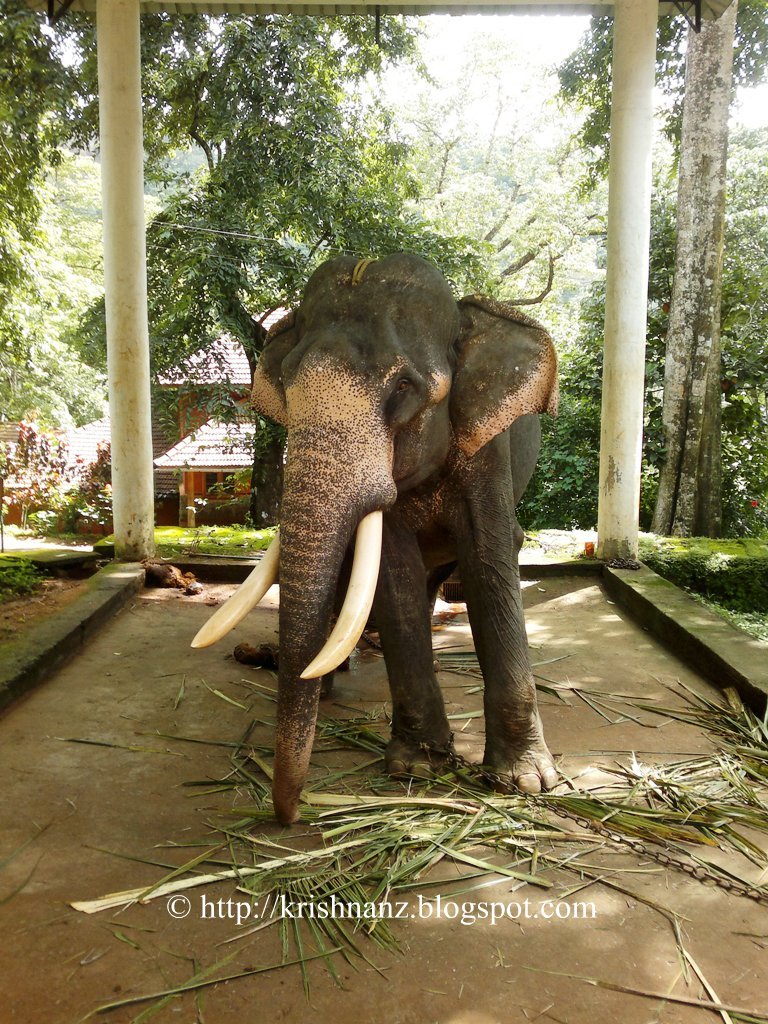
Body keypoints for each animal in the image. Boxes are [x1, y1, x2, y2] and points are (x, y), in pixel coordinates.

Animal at [193, 252, 559, 825]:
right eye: (287, 383)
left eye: (404, 387)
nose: (288, 815)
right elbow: (395, 570)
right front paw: (418, 768)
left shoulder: (487, 449)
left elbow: (490, 558)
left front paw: (523, 782)